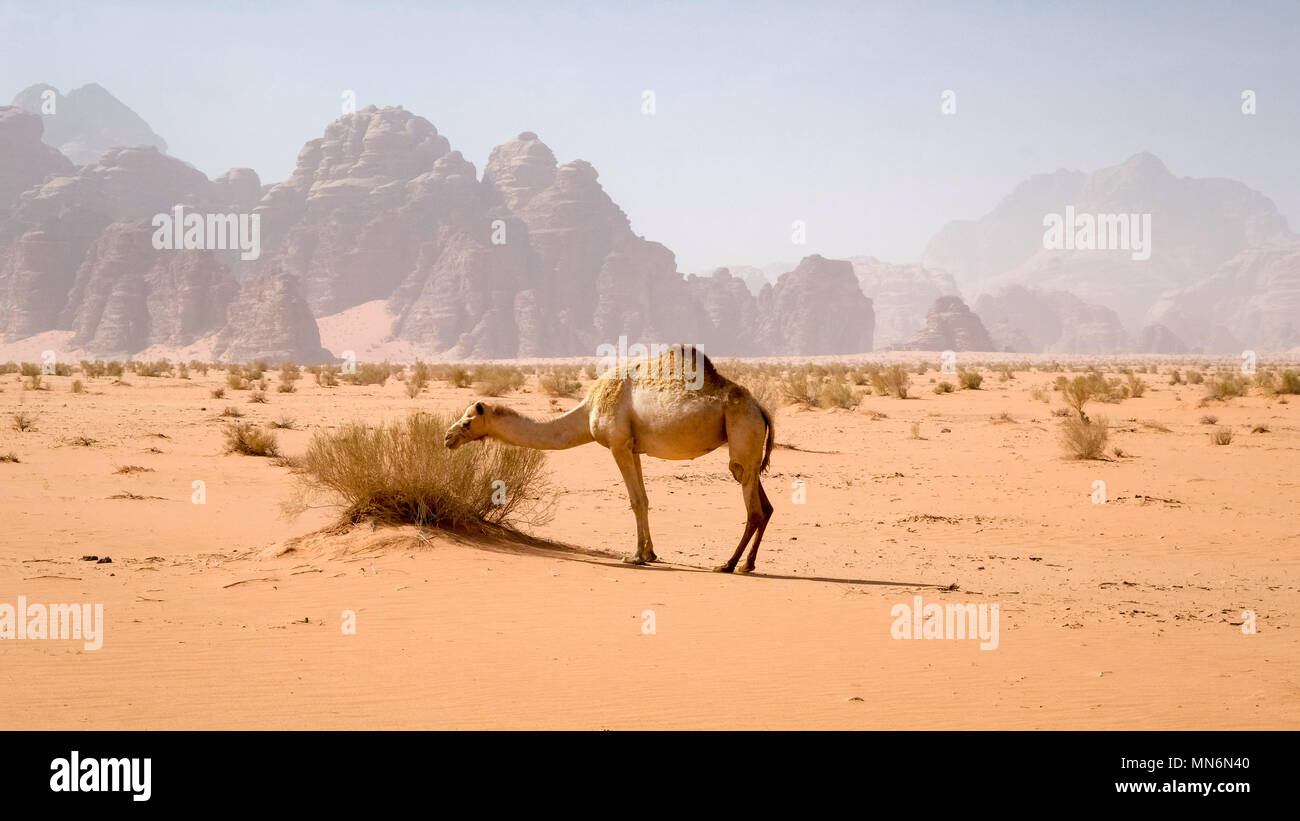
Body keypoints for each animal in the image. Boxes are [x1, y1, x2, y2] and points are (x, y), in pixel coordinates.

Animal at [444, 345, 775, 573]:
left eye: (468, 421)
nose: (448, 437)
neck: (589, 409)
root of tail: (761, 408)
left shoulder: (617, 444)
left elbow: (636, 500)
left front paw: (635, 557)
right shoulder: (633, 447)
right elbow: (644, 499)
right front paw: (650, 554)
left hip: (742, 432)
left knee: (753, 508)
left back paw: (730, 565)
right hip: (750, 448)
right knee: (766, 506)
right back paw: (747, 563)